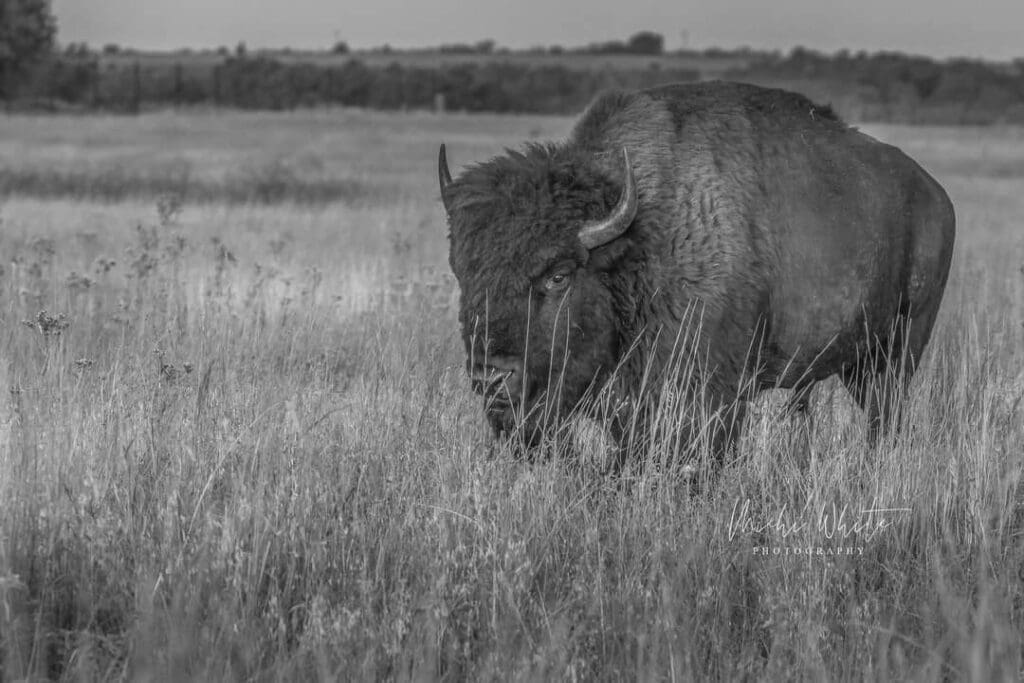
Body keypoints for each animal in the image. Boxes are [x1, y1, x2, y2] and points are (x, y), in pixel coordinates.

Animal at [438, 81, 955, 462]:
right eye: (463, 273)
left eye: (558, 275)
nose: (490, 377)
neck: (639, 240)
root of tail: (936, 196)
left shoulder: (708, 393)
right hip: (858, 361)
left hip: (898, 350)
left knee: (885, 416)